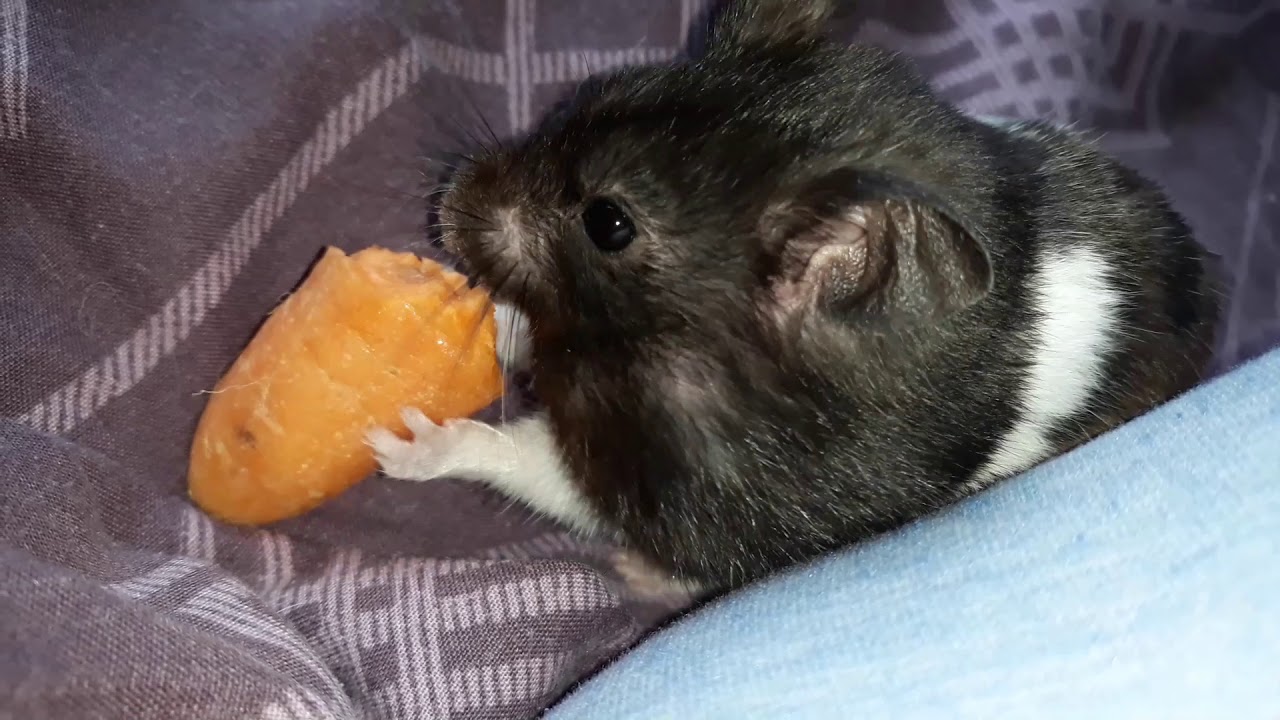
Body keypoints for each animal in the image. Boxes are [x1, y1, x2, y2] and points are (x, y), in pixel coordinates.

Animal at [369, 0, 1221, 591]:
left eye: (608, 223)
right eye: (591, 92)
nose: (446, 200)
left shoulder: (708, 488)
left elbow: (529, 461)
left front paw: (398, 443)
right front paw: (501, 322)